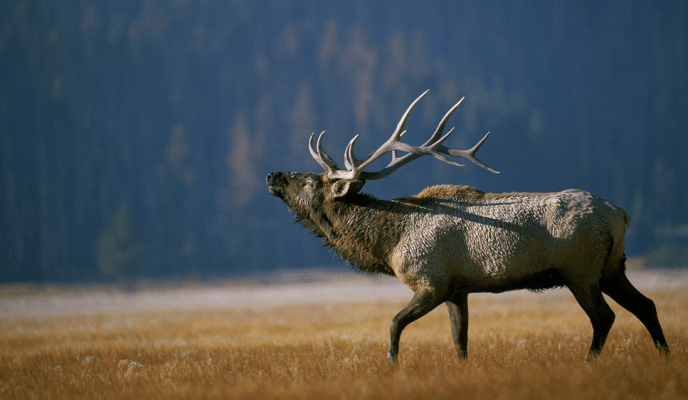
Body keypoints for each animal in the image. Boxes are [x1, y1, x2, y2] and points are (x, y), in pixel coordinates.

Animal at [266, 90, 670, 363]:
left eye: (309, 181)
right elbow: (459, 342)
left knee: (604, 316)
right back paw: (664, 355)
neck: (389, 244)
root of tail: (620, 214)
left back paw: (589, 362)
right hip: (612, 267)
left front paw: (392, 365)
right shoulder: (457, 290)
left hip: (580, 270)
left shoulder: (432, 281)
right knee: (646, 305)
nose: (272, 175)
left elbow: (395, 324)